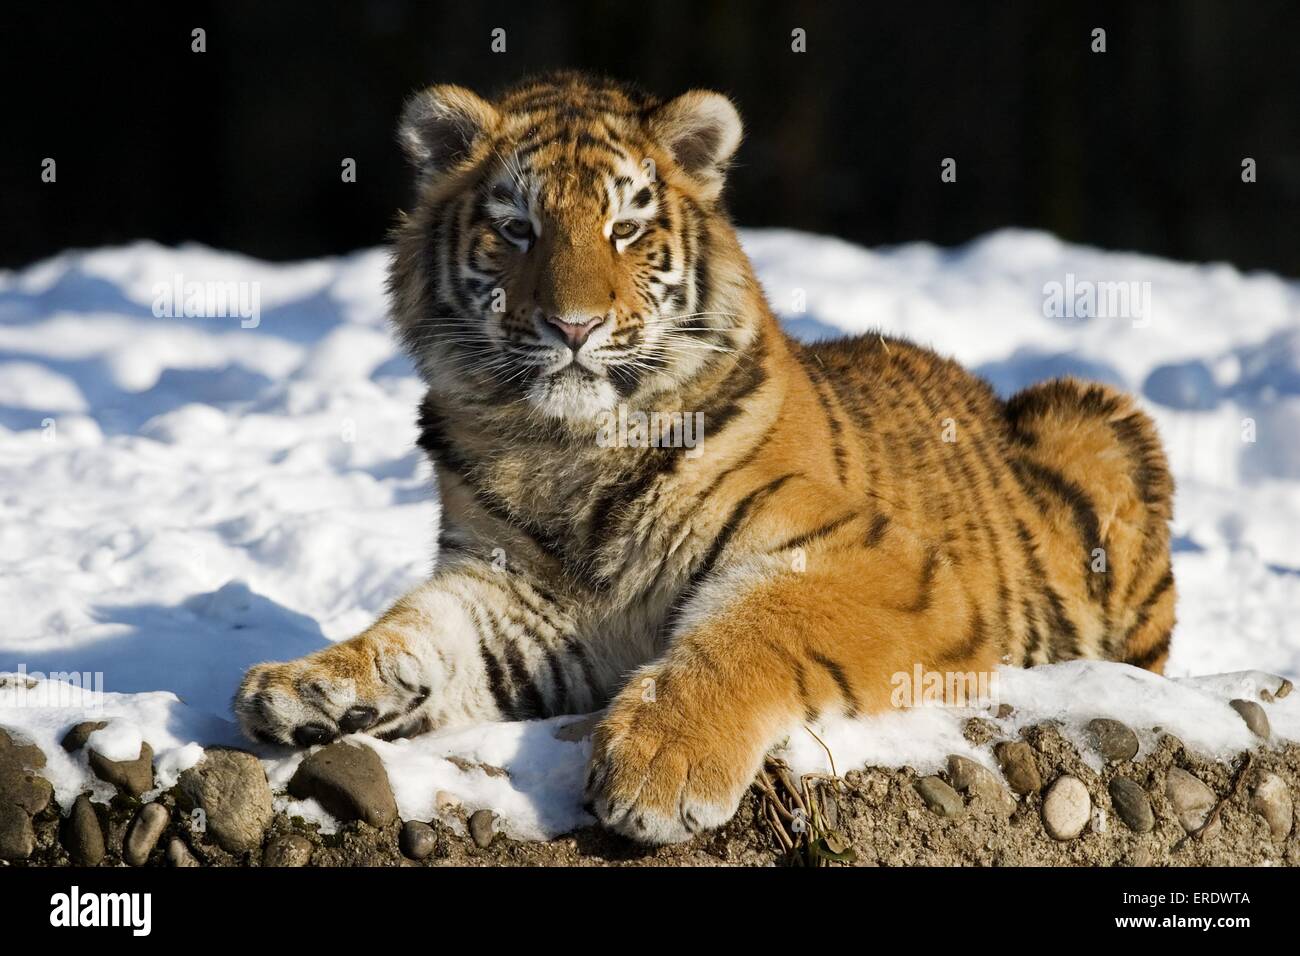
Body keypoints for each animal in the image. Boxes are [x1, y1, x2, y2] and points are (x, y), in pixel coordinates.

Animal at [234, 71, 1176, 845]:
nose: (573, 326)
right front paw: (308, 685)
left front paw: (662, 765)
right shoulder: (519, 599)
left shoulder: (885, 563)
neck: (565, 446)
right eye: (516, 229)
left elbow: (753, 624)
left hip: (1097, 420)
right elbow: (416, 629)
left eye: (624, 228)